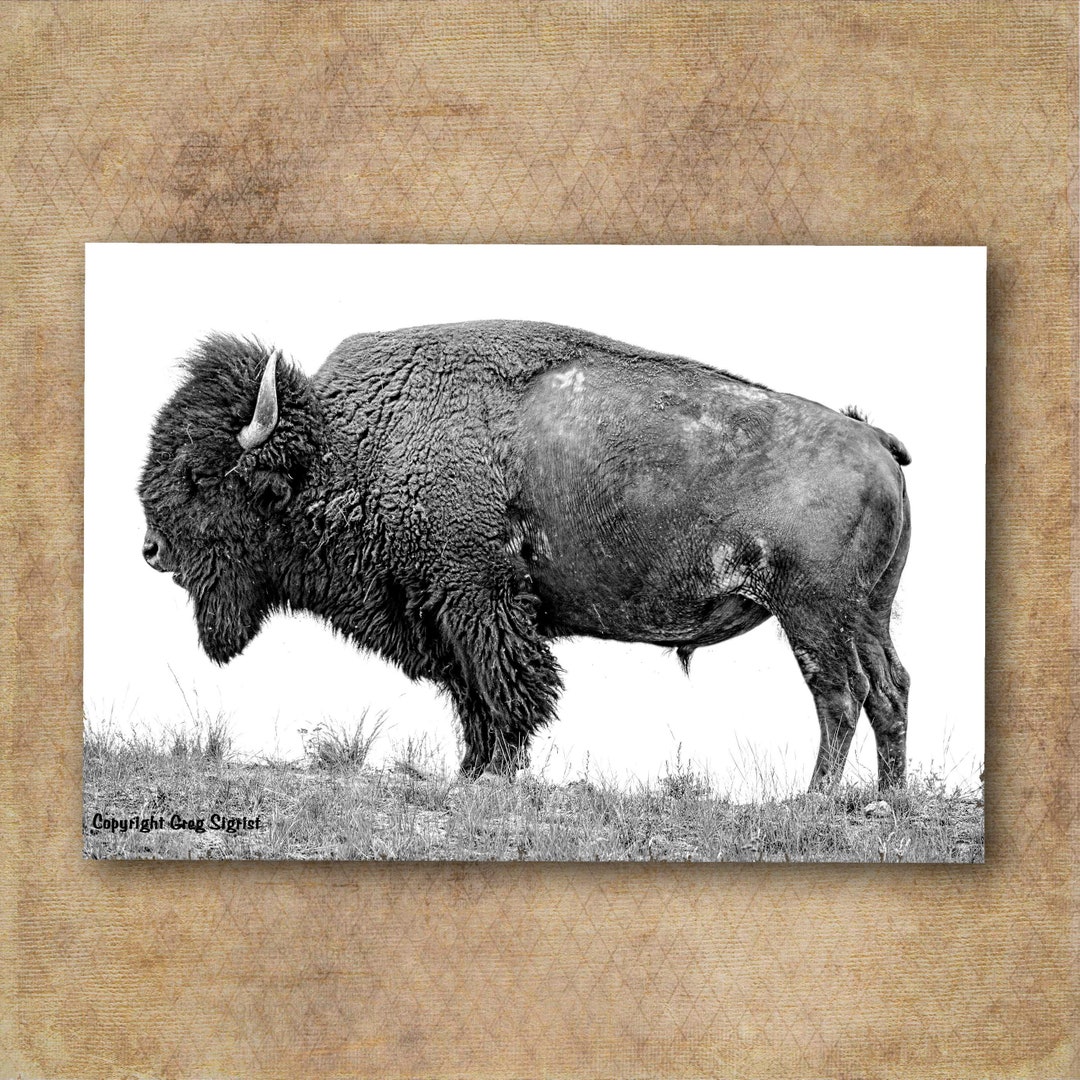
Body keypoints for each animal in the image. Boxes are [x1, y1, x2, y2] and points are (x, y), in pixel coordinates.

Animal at [139, 321, 911, 790]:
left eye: (198, 474)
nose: (150, 548)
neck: (345, 447)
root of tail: (873, 439)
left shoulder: (480, 601)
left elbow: (508, 689)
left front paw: (494, 773)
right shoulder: (447, 617)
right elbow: (473, 698)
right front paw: (471, 770)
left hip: (812, 616)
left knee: (839, 695)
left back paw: (811, 800)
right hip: (868, 615)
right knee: (890, 691)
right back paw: (885, 799)